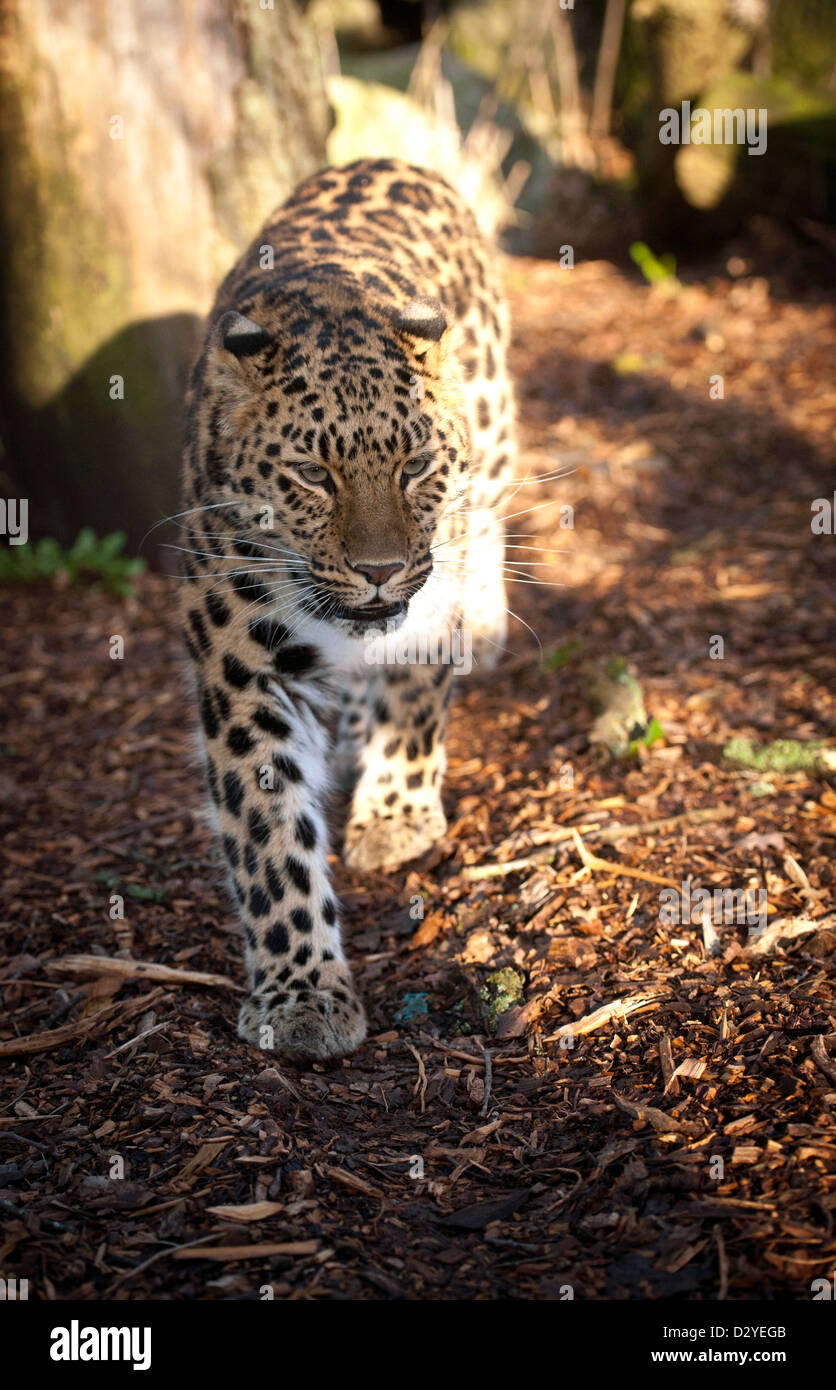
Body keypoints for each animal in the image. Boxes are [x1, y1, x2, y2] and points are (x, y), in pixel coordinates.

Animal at [179, 157, 517, 1062]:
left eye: (416, 464)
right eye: (312, 475)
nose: (380, 571)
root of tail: (385, 159)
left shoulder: (427, 594)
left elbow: (416, 694)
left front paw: (397, 810)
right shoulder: (243, 665)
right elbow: (269, 833)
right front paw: (301, 992)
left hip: (496, 424)